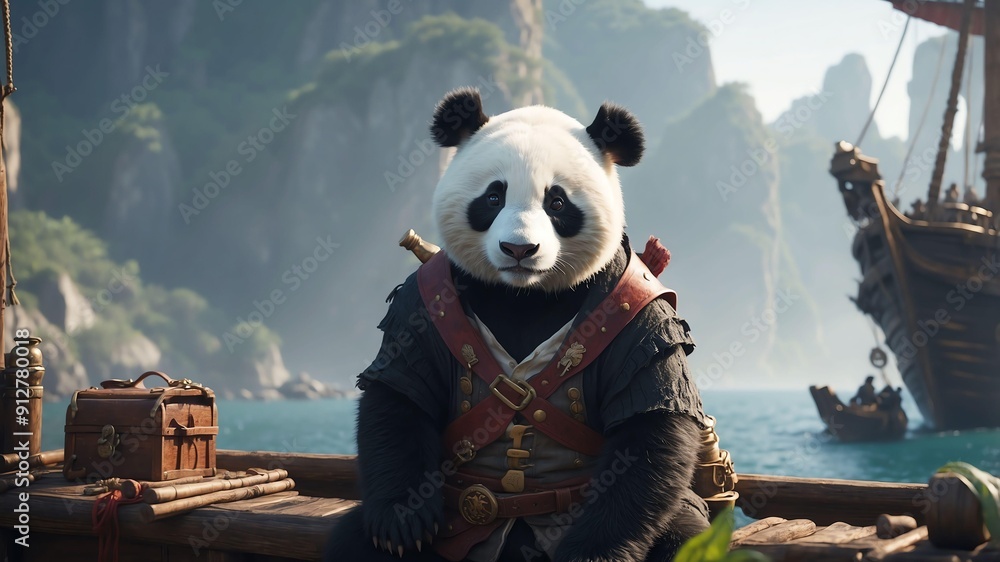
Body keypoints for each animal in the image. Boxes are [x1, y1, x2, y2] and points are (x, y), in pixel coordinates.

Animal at [325, 88, 710, 562]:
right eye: (493, 197)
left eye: (557, 202)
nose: (519, 249)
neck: (524, 294)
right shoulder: (428, 299)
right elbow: (399, 394)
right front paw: (404, 522)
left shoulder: (636, 313)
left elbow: (648, 426)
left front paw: (592, 553)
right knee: (352, 543)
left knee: (684, 539)